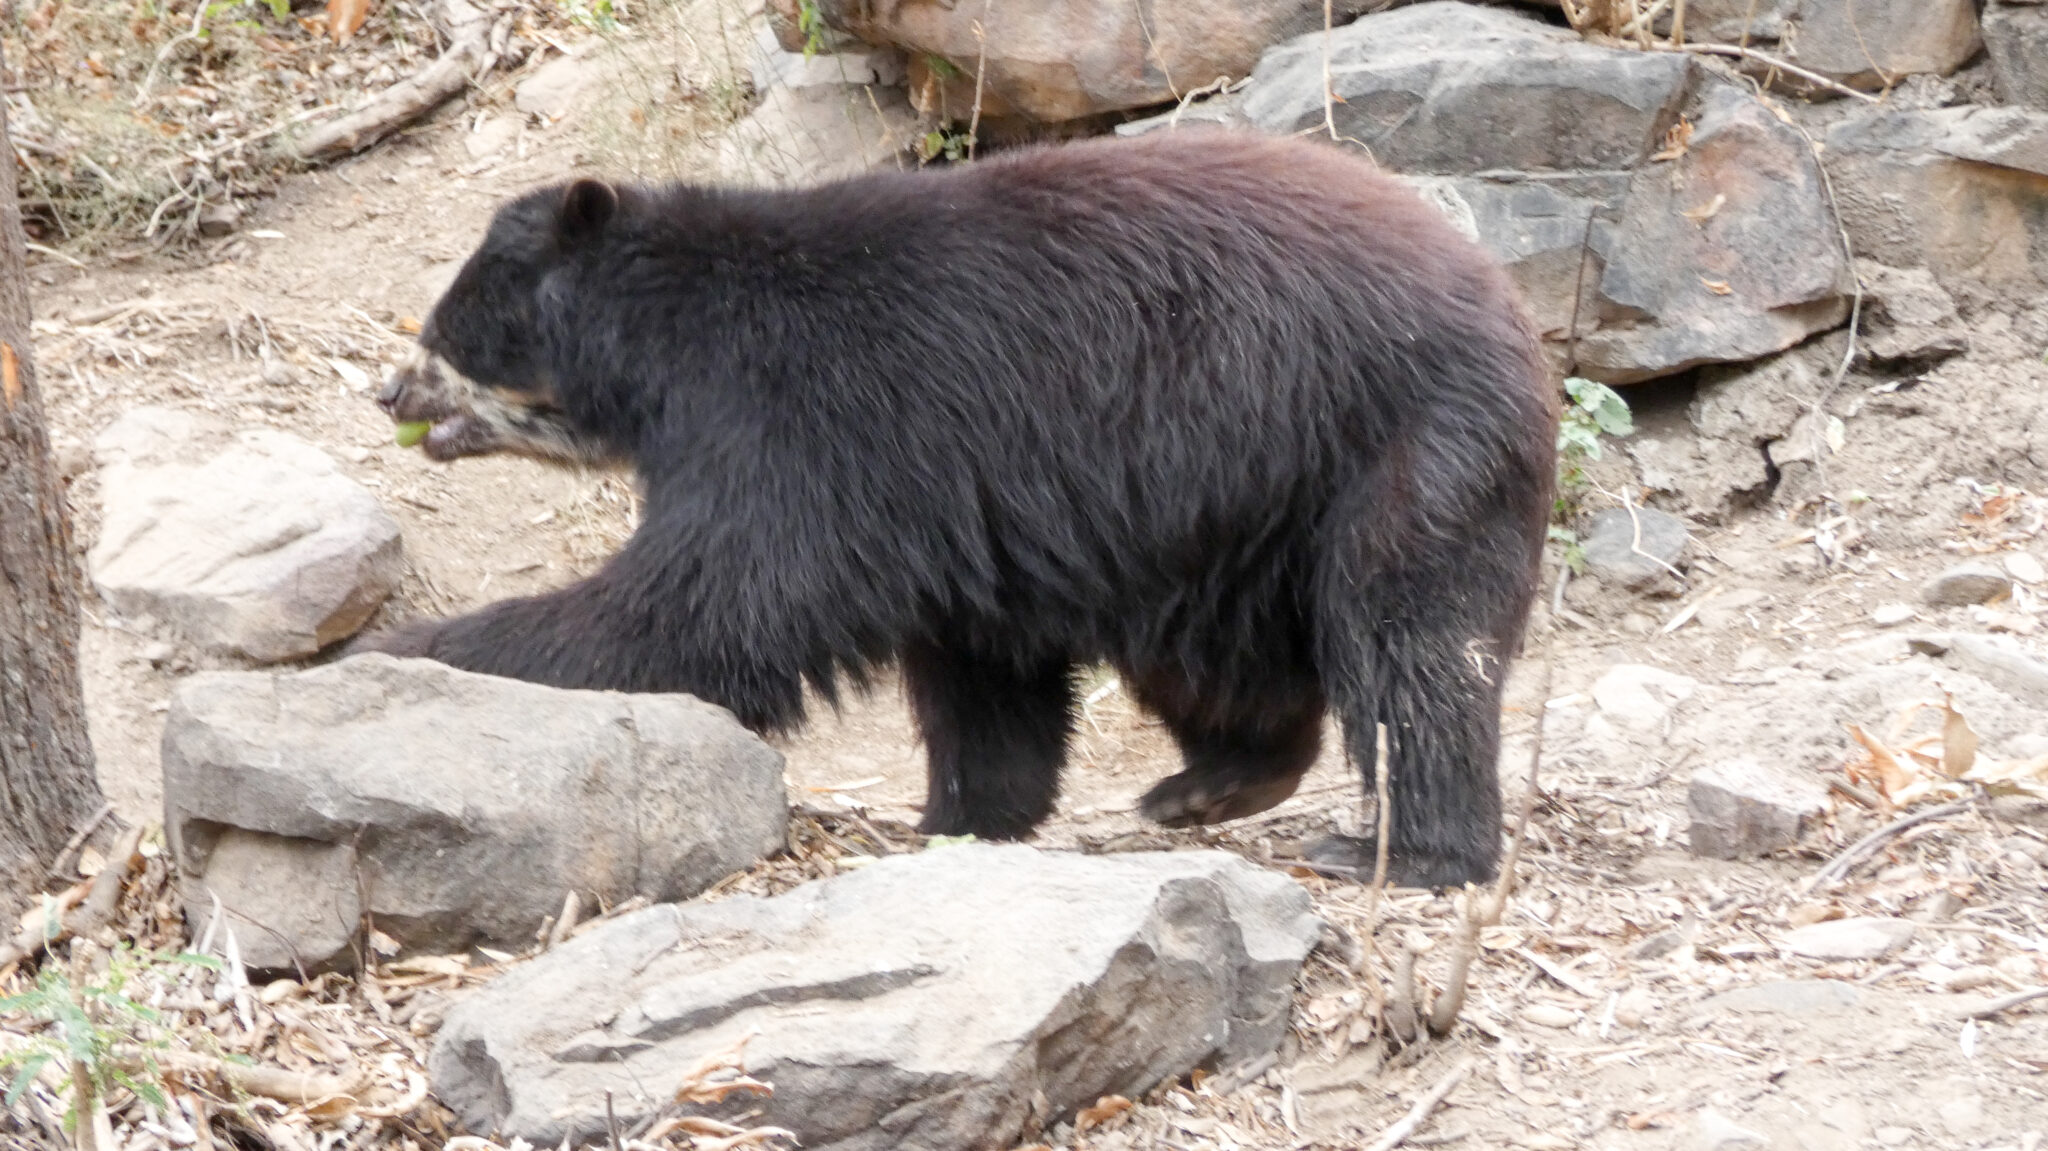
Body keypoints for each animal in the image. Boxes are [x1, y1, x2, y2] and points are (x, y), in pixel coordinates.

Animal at [354, 129, 1557, 888]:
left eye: (452, 323)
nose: (390, 393)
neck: (670, 339)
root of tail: (1511, 307)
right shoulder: (949, 496)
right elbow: (980, 669)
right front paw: (964, 817)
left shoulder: (802, 417)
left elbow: (709, 601)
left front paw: (411, 646)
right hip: (1228, 516)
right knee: (1229, 666)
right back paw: (1207, 784)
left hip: (1396, 443)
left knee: (1411, 641)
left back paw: (1407, 850)